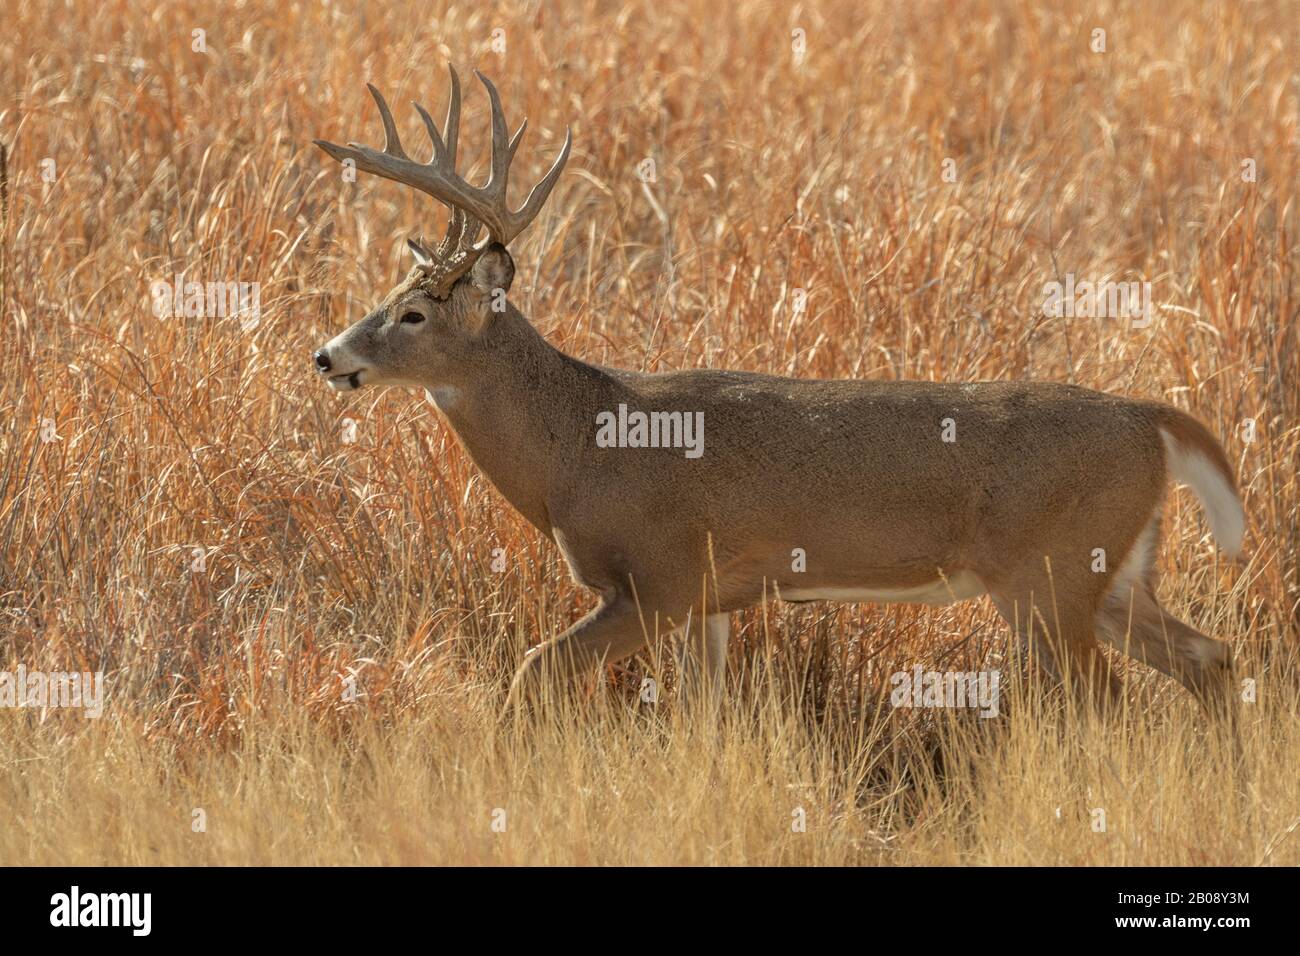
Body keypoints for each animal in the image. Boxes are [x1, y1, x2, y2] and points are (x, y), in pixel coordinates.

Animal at [312, 66, 1245, 718]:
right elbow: (702, 717)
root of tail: (1153, 419)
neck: (578, 448)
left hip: (1048, 573)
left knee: (1110, 700)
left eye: (413, 312)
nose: (327, 356)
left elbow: (531, 673)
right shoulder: (711, 600)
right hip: (1115, 574)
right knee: (1211, 658)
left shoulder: (659, 576)